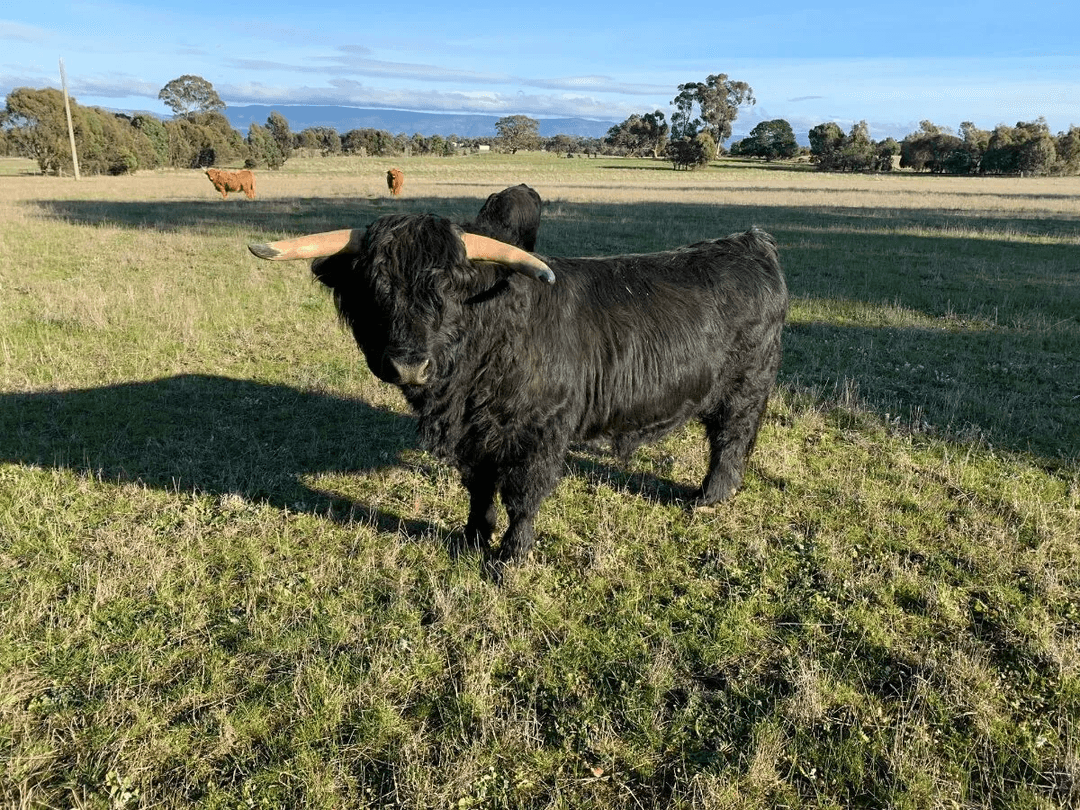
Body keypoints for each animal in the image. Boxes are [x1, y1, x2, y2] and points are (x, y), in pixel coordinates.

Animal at [248, 215, 787, 572]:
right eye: (374, 289)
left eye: (447, 290)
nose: (407, 365)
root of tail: (751, 243)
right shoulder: (476, 438)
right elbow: (480, 488)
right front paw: (471, 539)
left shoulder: (538, 433)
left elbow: (523, 494)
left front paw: (510, 556)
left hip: (744, 388)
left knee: (730, 440)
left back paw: (709, 497)